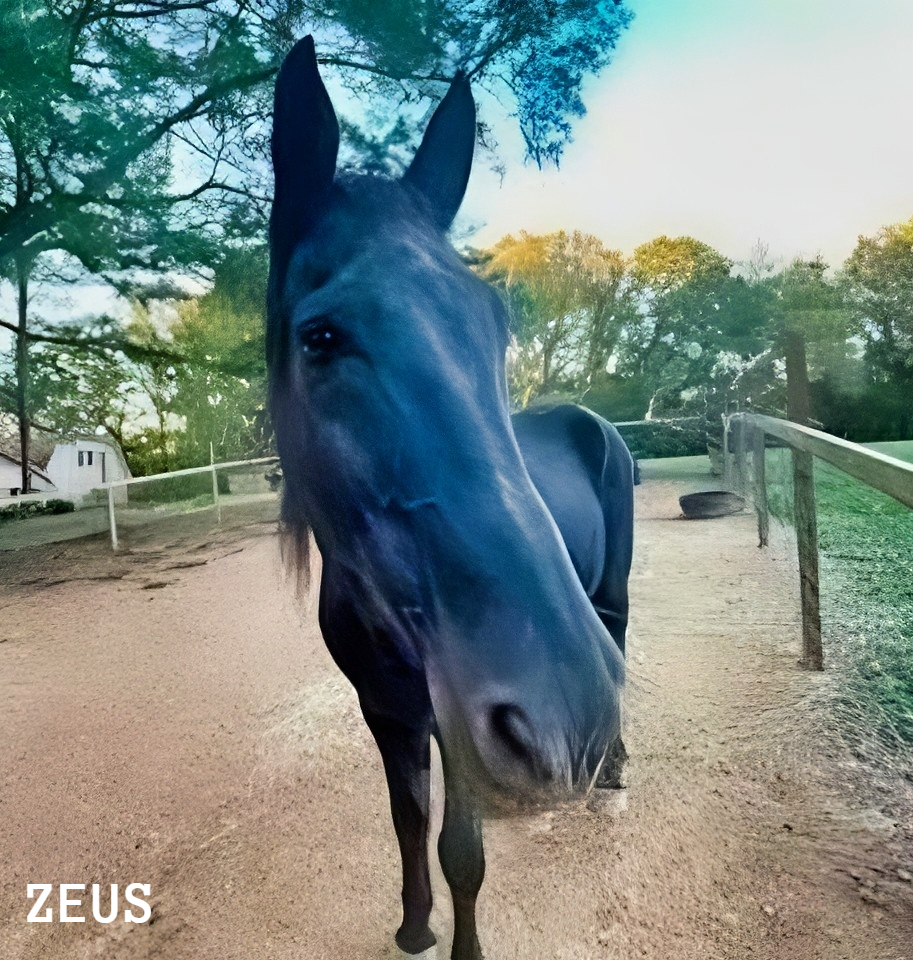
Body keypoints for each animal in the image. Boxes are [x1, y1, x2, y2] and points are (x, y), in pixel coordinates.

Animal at [267, 36, 634, 960]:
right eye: (320, 337)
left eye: (494, 326)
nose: (565, 712)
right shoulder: (386, 711)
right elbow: (407, 822)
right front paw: (411, 925)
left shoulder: (453, 717)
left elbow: (459, 847)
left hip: (609, 596)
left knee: (621, 638)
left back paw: (614, 766)